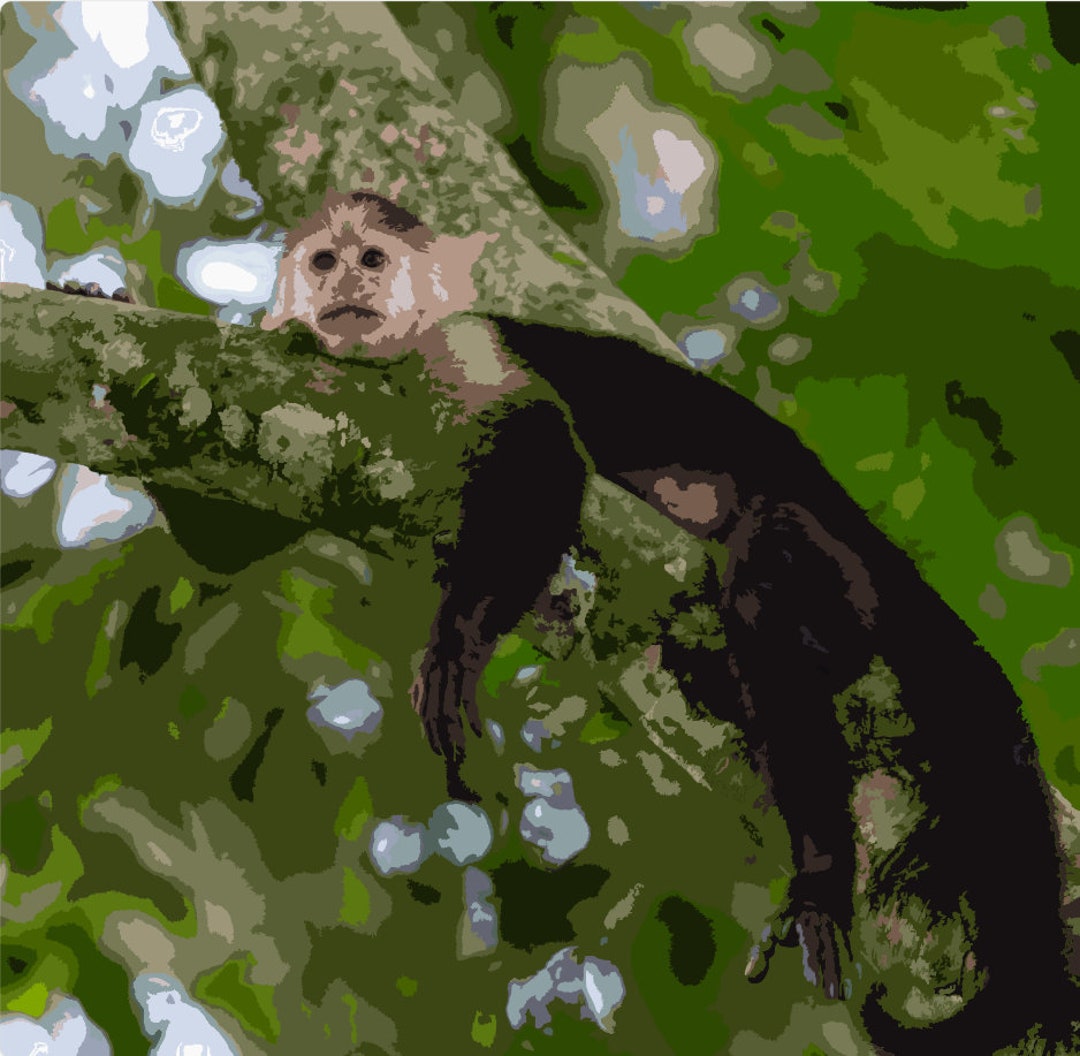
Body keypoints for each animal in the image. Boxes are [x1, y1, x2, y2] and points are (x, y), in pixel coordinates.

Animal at [259, 191, 1076, 1054]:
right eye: (323, 261)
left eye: (372, 259)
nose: (343, 284)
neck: (395, 365)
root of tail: (875, 543)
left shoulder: (465, 345)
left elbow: (543, 441)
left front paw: (460, 640)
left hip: (841, 569)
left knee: (761, 582)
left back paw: (823, 870)